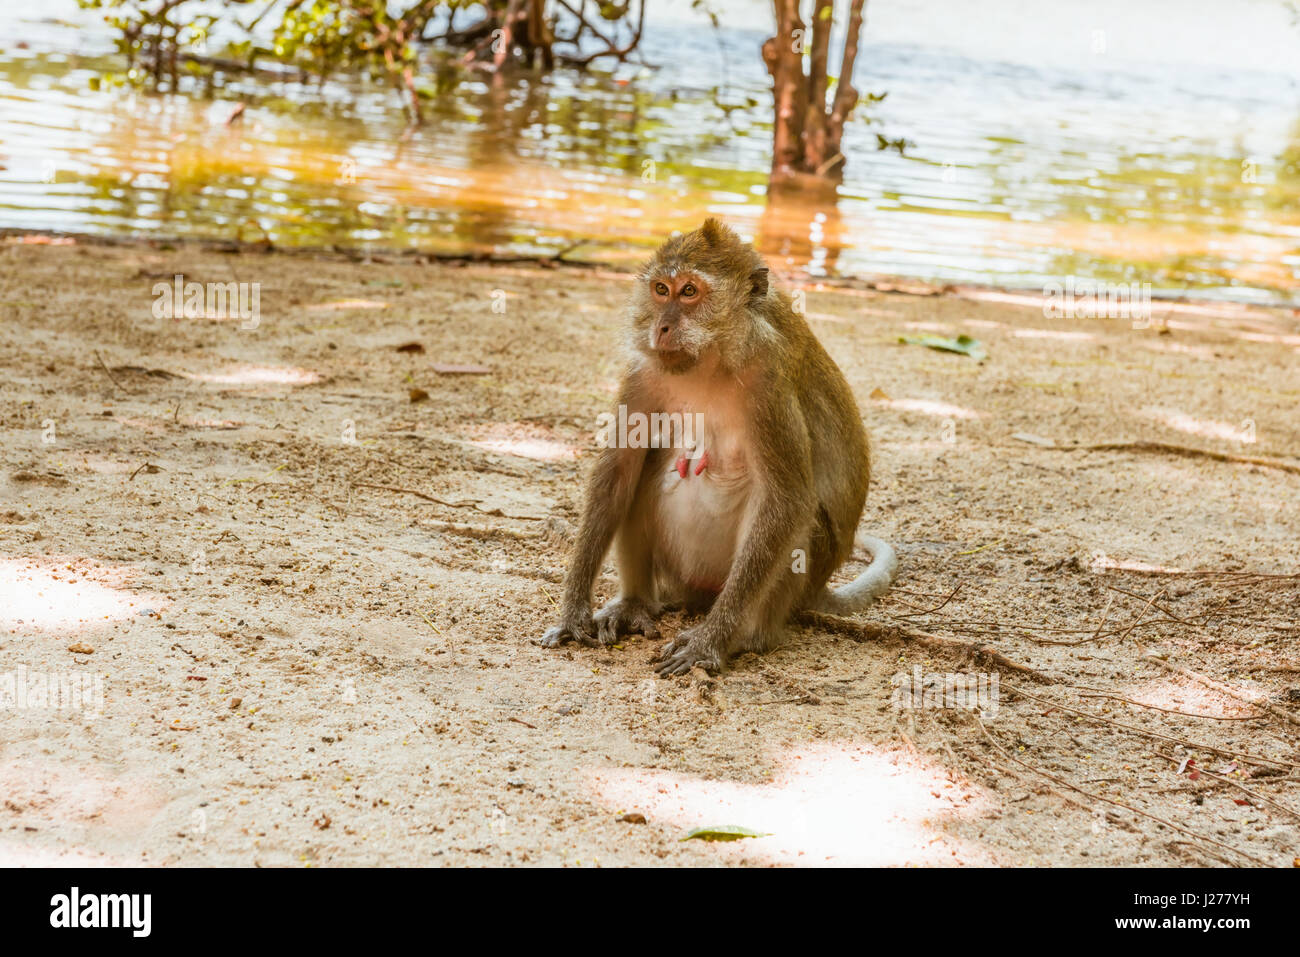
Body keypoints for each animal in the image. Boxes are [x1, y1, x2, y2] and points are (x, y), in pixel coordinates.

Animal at [540, 218, 897, 676]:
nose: (662, 327)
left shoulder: (769, 384)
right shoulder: (644, 370)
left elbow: (787, 500)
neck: (710, 360)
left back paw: (748, 635)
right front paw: (573, 612)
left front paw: (709, 642)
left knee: (794, 520)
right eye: (662, 290)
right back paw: (635, 604)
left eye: (690, 291)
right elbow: (618, 470)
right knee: (647, 467)